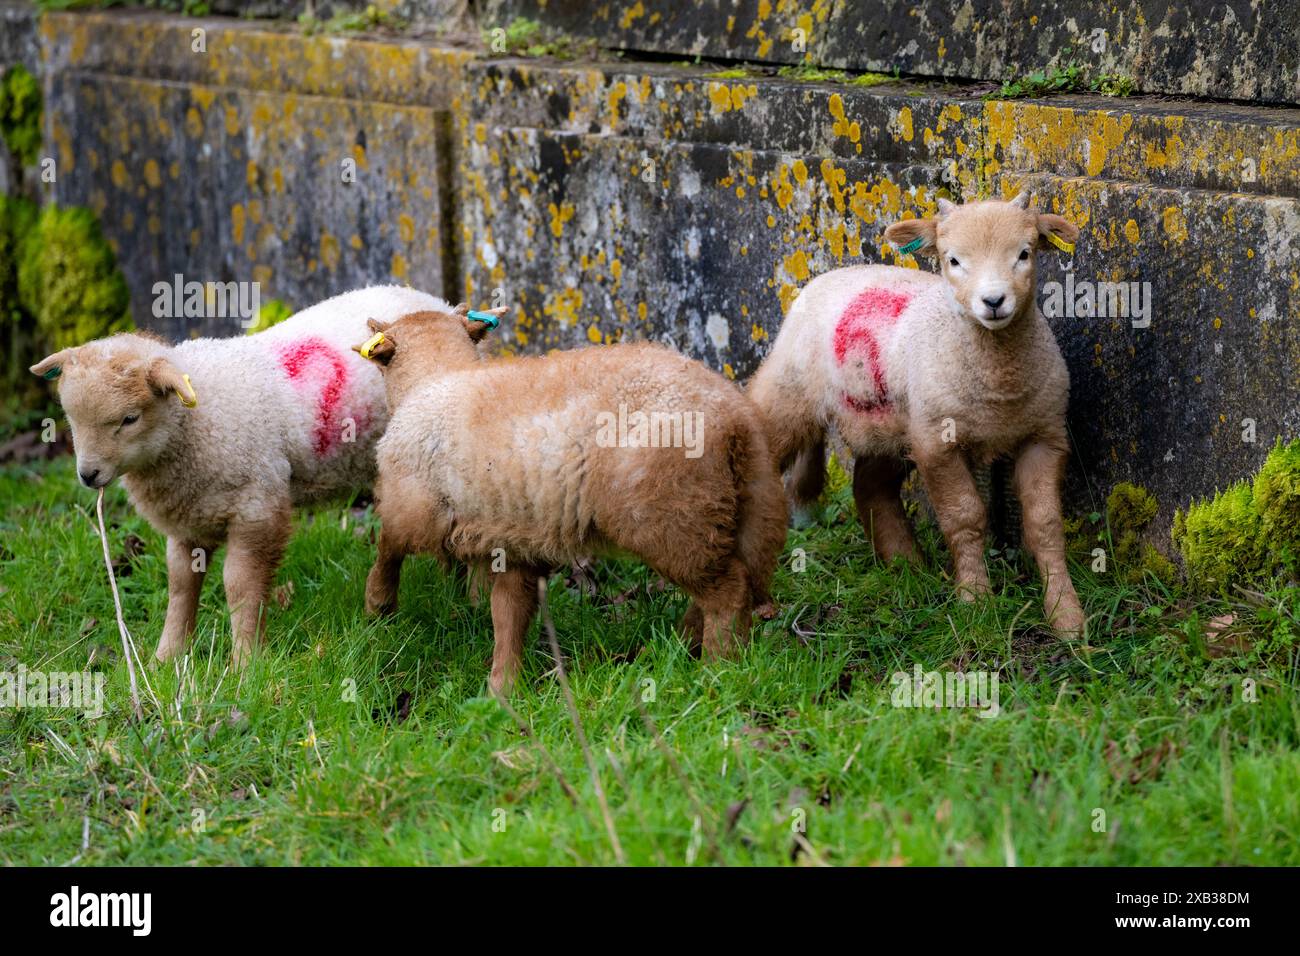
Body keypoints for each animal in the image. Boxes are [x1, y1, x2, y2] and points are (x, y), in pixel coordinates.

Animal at [30, 284, 450, 666]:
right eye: (70, 417)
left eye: (130, 418)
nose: (88, 475)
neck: (193, 421)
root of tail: (431, 299)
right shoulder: (188, 519)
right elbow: (180, 585)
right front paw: (166, 659)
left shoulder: (257, 510)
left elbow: (240, 587)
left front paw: (246, 663)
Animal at [352, 305, 788, 695]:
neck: (435, 377)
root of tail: (735, 420)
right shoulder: (515, 538)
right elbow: (509, 611)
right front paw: (503, 688)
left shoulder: (413, 508)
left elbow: (387, 546)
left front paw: (377, 605)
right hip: (733, 509)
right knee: (726, 585)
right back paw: (678, 648)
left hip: (672, 517)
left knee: (728, 590)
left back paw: (717, 666)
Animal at [748, 193, 1085, 636]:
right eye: (952, 260)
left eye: (1024, 253)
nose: (994, 302)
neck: (999, 384)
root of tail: (826, 277)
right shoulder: (936, 444)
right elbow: (965, 518)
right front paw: (975, 602)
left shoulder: (1044, 436)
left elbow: (1045, 524)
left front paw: (1066, 616)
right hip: (789, 391)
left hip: (891, 422)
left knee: (871, 487)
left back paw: (907, 566)